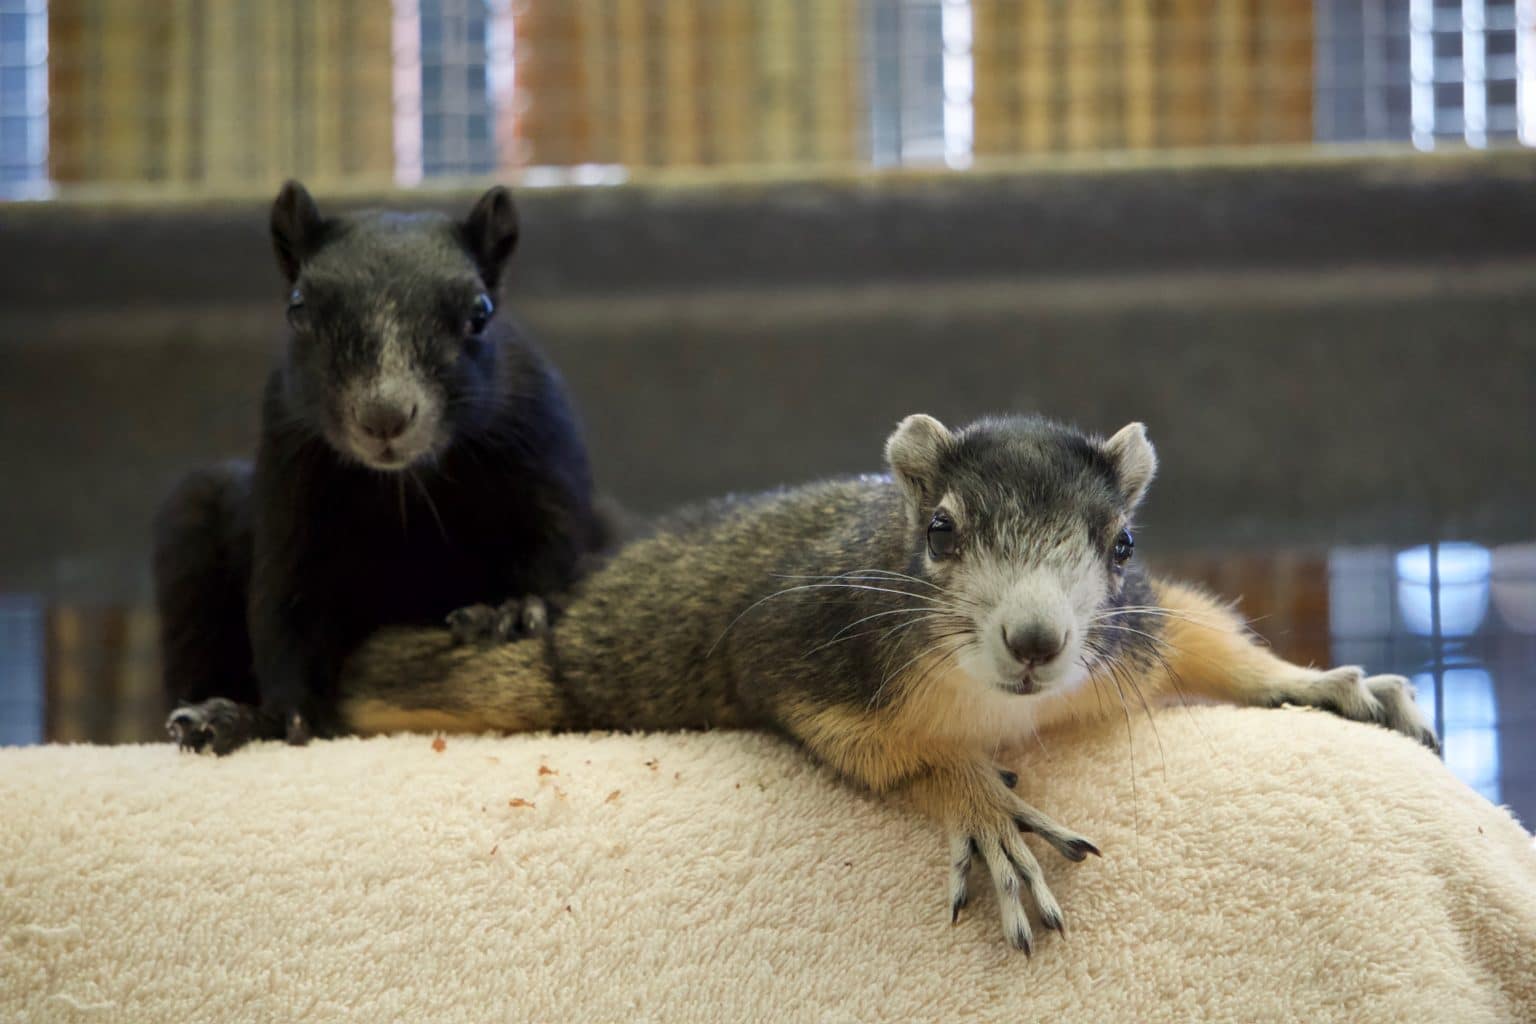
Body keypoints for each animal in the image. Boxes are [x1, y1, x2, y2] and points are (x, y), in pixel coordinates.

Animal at [155, 181, 611, 755]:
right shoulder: (290, 477)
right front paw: (274, 718)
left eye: (481, 313)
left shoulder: (544, 449)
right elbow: (286, 609)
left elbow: (551, 545)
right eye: (297, 309)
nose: (384, 416)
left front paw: (514, 608)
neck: (404, 484)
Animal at [342, 415, 1435, 952]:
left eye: (1121, 543)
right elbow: (889, 749)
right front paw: (981, 805)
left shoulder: (1129, 637)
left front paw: (1328, 682)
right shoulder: (805, 654)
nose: (1037, 640)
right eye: (941, 530)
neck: (998, 699)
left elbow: (1206, 633)